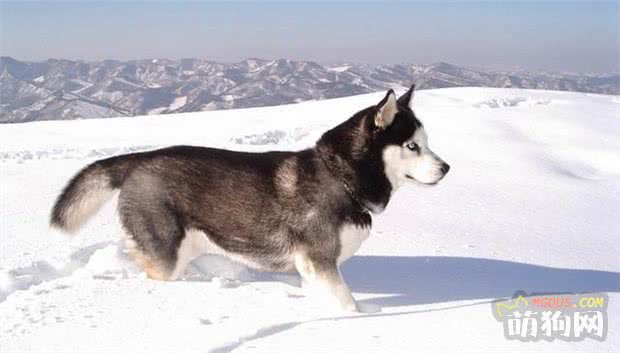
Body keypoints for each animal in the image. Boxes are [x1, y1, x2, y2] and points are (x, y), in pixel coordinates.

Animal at [48, 85, 446, 310]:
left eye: (426, 143)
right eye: (412, 146)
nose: (446, 168)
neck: (341, 178)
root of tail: (140, 159)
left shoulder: (310, 269)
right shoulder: (318, 261)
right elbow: (348, 306)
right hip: (165, 251)